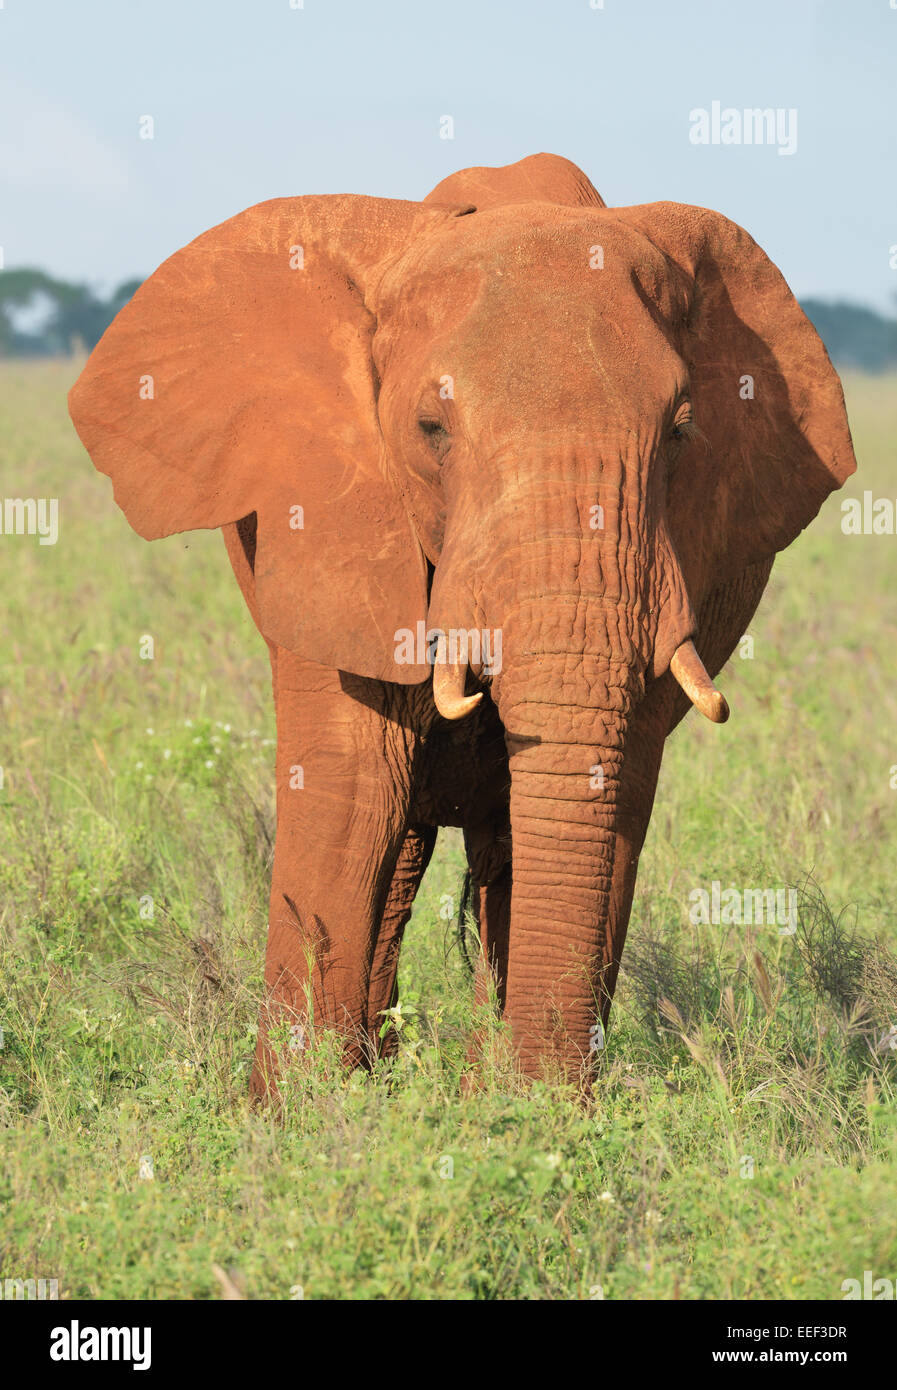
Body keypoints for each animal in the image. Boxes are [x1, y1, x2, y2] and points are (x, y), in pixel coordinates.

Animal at [68, 152, 856, 1093]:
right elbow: (352, 791)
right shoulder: (327, 525)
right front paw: (300, 1113)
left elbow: (607, 796)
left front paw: (514, 1112)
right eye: (430, 428)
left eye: (681, 429)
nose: (551, 1101)